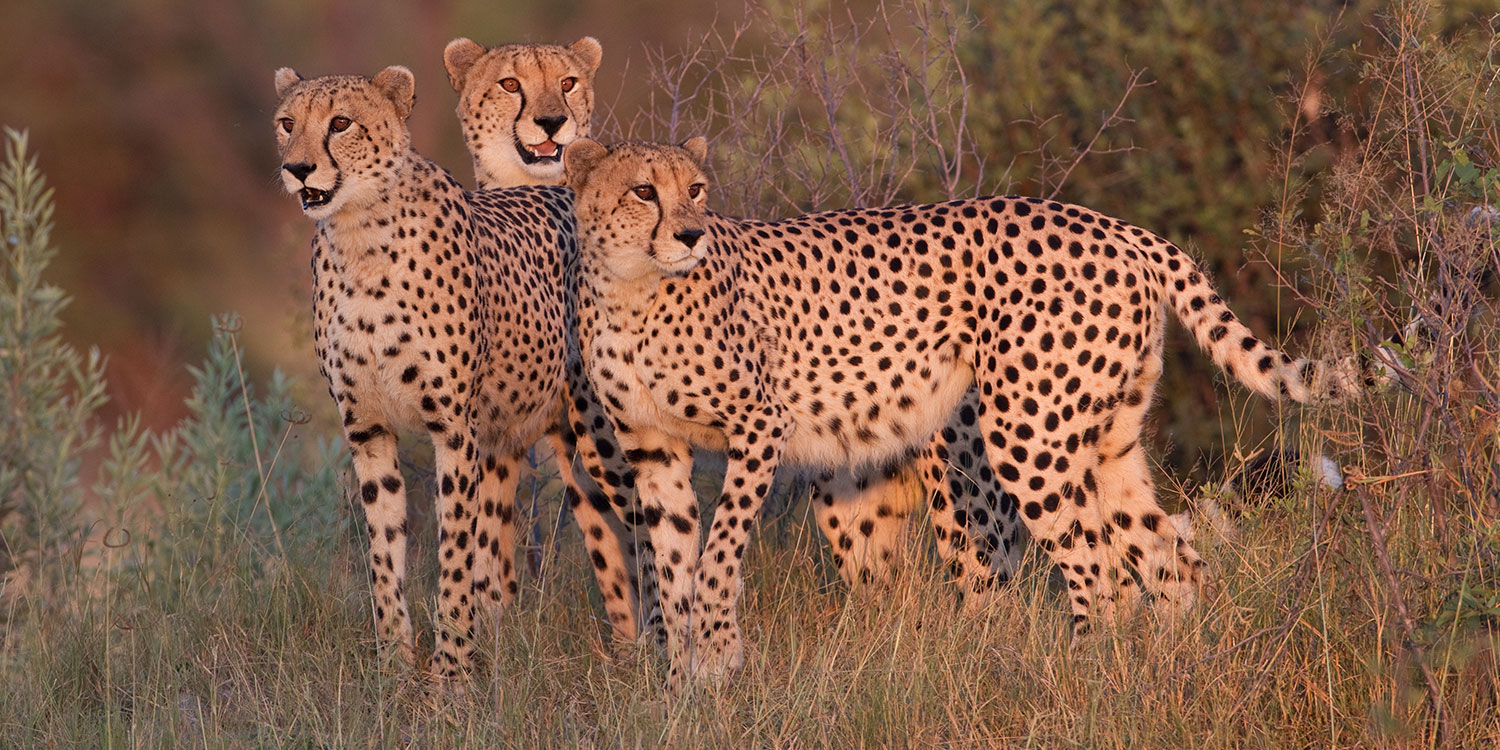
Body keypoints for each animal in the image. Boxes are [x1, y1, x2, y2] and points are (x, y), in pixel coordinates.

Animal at [272, 65, 634, 679]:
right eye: (286, 123)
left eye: (340, 123)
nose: (297, 169)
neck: (359, 237)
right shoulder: (367, 430)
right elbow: (385, 551)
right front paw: (395, 667)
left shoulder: (453, 429)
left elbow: (455, 557)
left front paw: (450, 676)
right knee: (604, 543)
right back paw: (628, 651)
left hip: (602, 433)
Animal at [562, 136, 1382, 687]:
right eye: (643, 191)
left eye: (697, 188)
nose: (690, 232)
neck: (632, 287)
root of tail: (1116, 225)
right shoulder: (653, 449)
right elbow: (670, 559)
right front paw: (683, 685)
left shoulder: (759, 428)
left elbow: (717, 552)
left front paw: (713, 655)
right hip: (1109, 440)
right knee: (1172, 562)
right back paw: (1170, 676)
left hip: (1028, 433)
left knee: (1102, 576)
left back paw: (1075, 683)